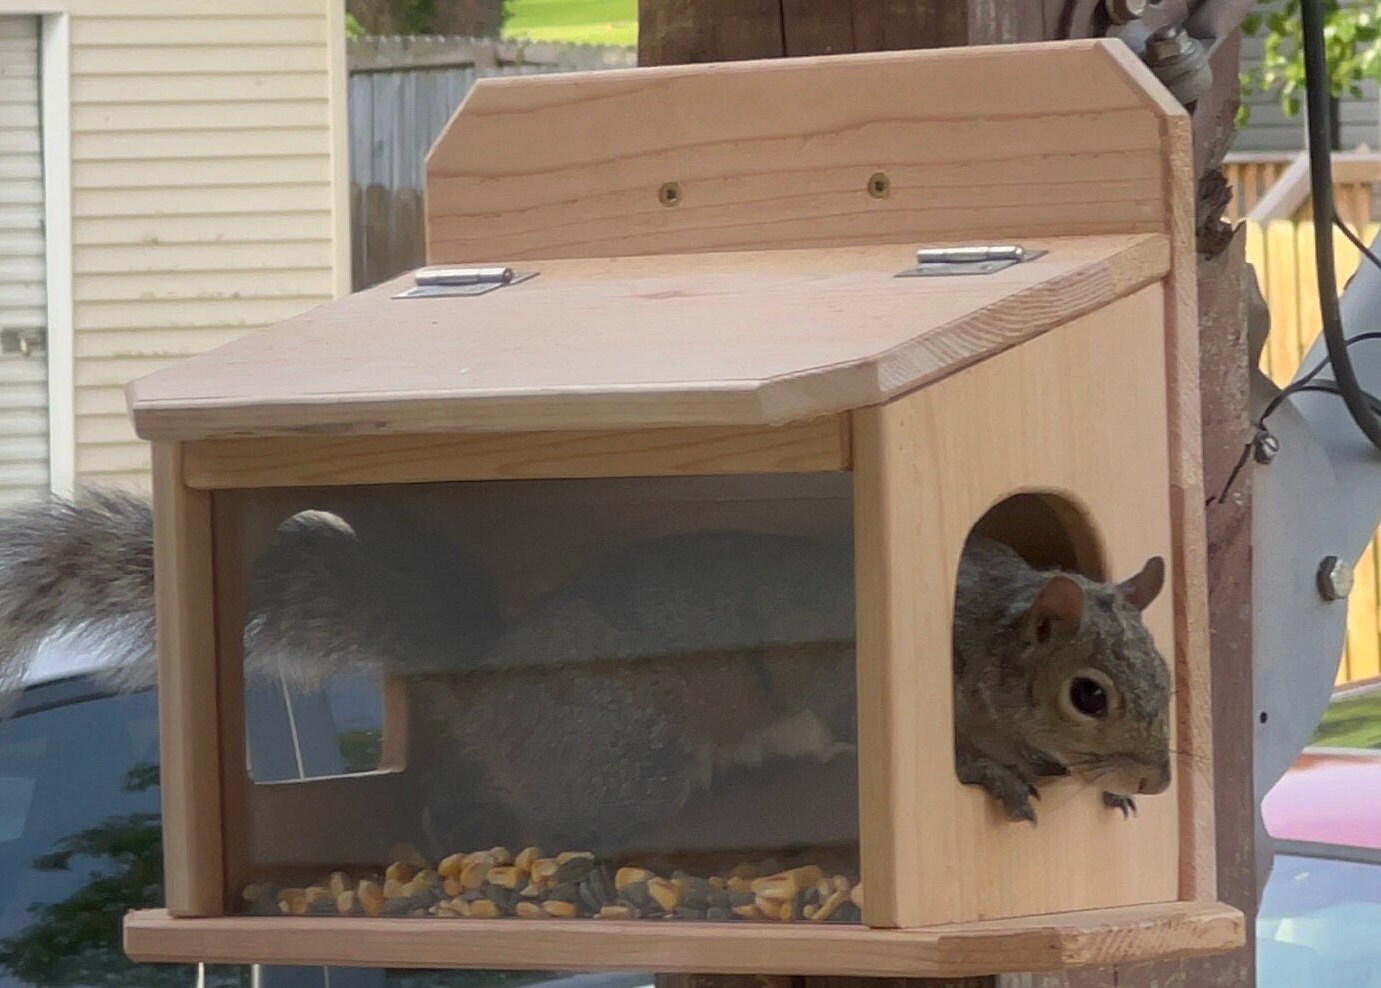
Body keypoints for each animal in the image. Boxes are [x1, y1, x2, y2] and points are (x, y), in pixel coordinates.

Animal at [0, 489, 1171, 844]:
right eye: (1088, 694)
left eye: (1167, 678)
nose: (1159, 780)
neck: (982, 639)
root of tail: (489, 674)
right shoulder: (858, 690)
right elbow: (880, 731)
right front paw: (993, 770)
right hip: (630, 754)